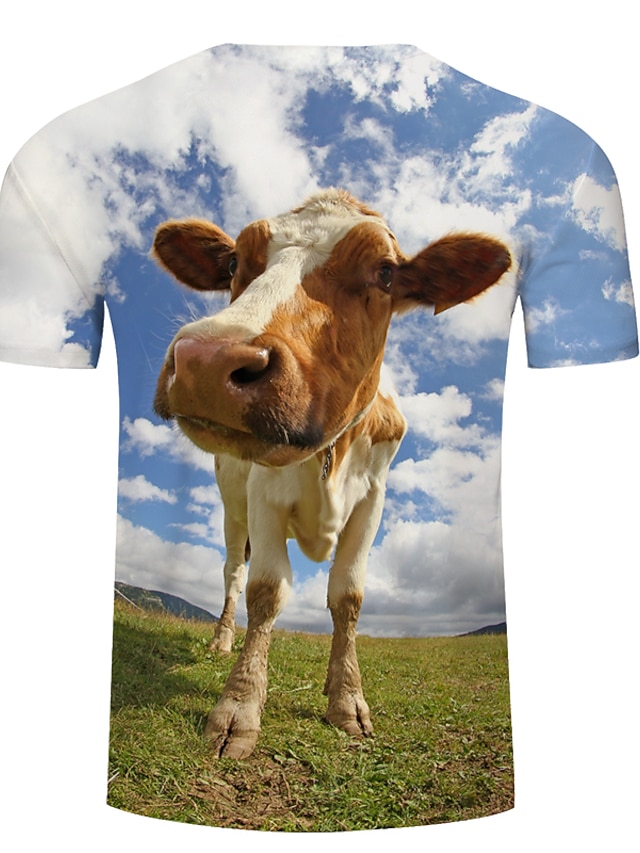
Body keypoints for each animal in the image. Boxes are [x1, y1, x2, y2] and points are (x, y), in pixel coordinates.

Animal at [152, 188, 511, 759]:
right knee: (233, 573)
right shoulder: (262, 495)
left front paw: (346, 698)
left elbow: (348, 596)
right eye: (233, 263)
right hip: (231, 509)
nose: (207, 361)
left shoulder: (373, 500)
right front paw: (239, 706)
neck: (329, 455)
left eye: (385, 272)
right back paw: (223, 639)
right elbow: (266, 591)